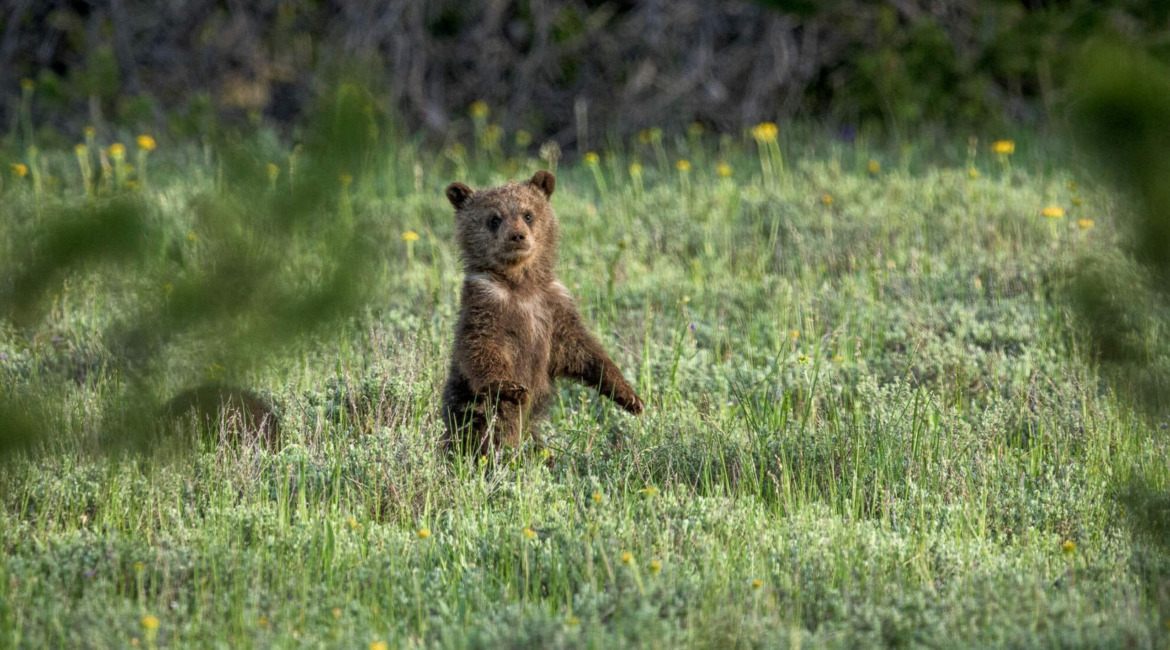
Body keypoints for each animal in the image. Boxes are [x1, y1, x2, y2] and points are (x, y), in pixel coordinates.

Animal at [441, 170, 644, 459]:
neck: (519, 284)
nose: (517, 236)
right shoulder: (487, 303)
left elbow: (582, 349)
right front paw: (510, 387)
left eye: (528, 214)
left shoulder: (552, 307)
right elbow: (481, 347)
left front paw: (630, 397)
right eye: (494, 218)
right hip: (468, 410)